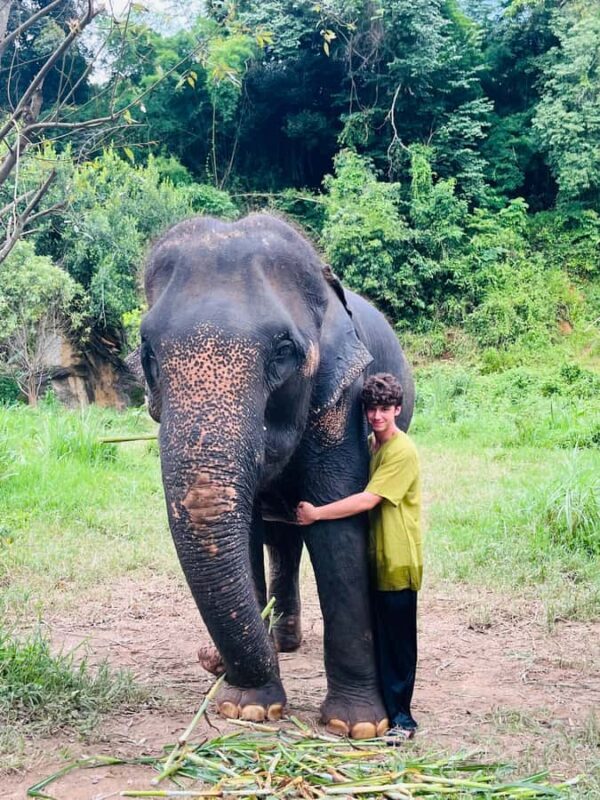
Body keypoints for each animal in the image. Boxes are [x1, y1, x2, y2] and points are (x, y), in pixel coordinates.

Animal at [139, 213, 414, 739]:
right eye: (148, 354)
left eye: (283, 351)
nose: (209, 659)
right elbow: (244, 534)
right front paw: (248, 708)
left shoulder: (342, 399)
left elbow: (337, 525)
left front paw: (356, 726)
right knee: (279, 537)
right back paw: (282, 643)